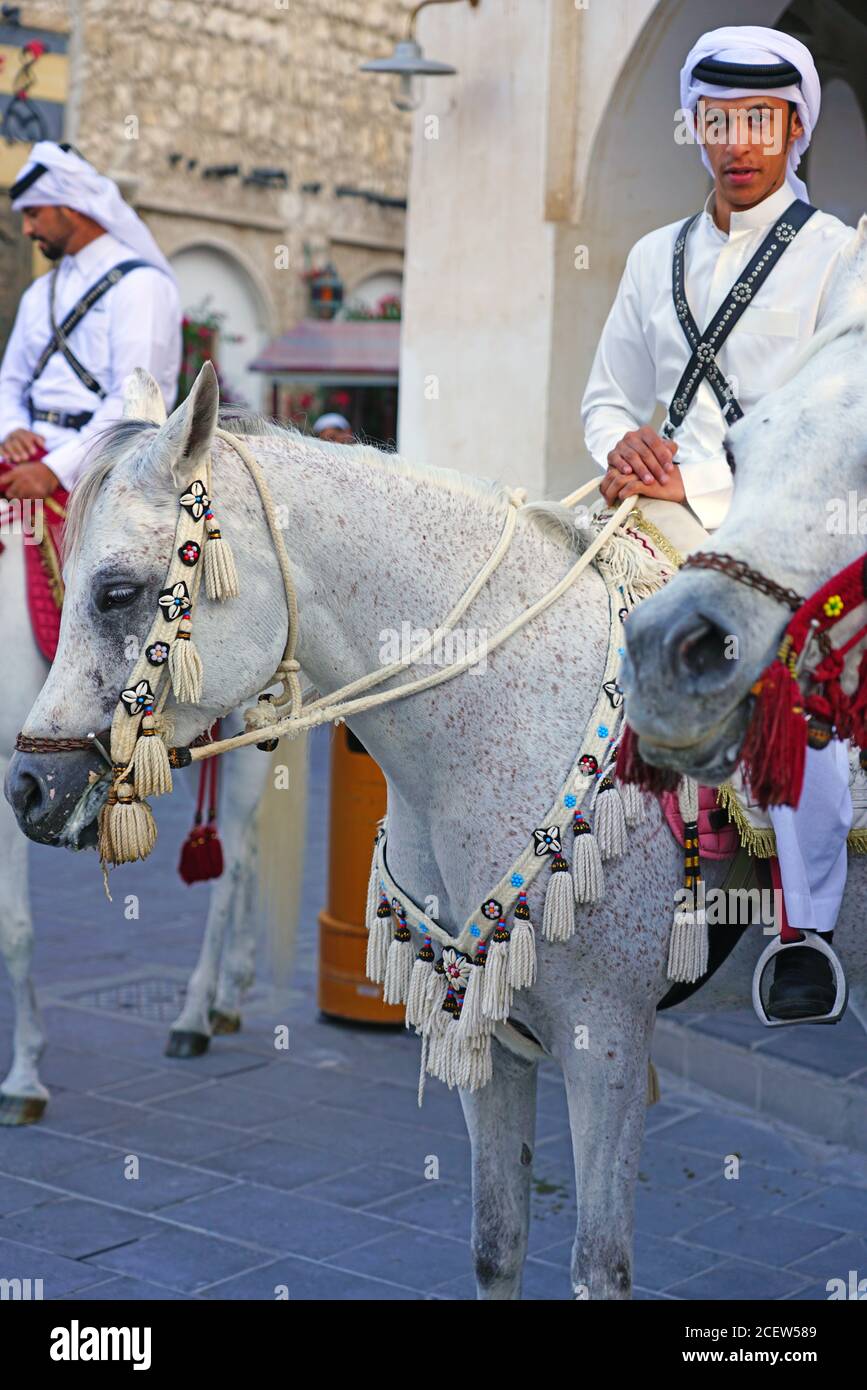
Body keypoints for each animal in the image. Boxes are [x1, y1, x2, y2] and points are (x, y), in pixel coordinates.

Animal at [0, 373, 302, 1126]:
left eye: (115, 594)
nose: (31, 788)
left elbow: (14, 930)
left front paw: (23, 1077)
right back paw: (230, 992)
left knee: (232, 865)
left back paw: (195, 1014)